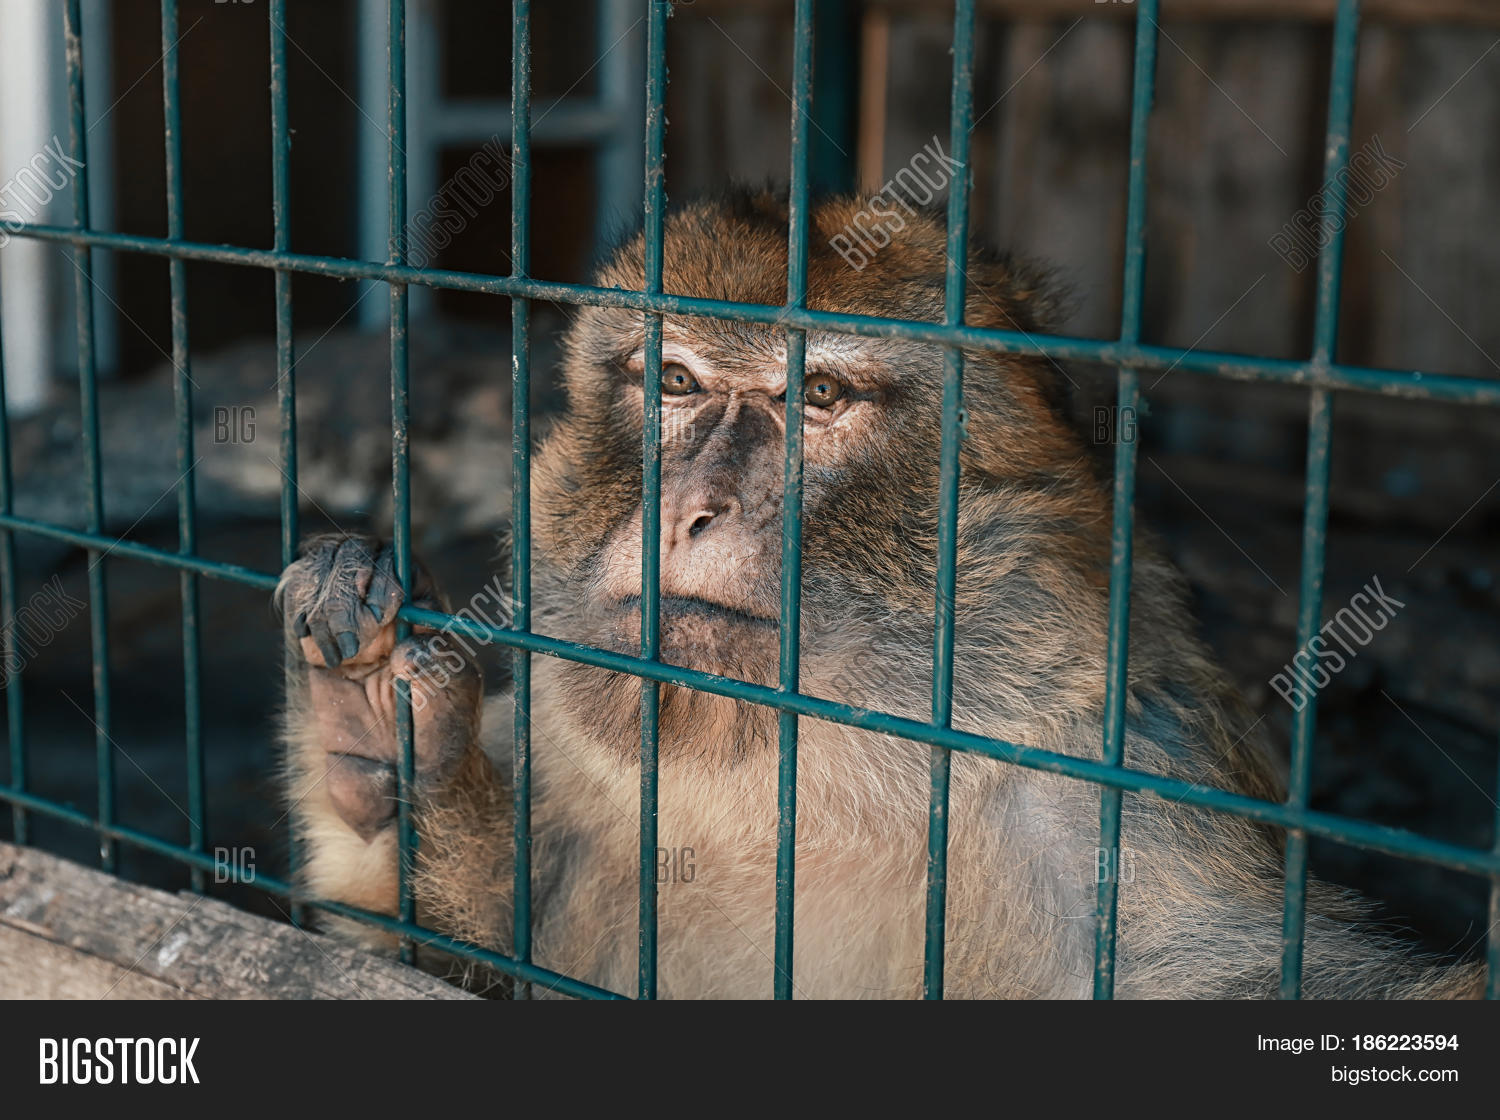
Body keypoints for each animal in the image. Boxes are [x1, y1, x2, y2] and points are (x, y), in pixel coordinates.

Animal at [274, 188, 1484, 999]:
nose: (690, 509)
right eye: (674, 381)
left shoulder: (1114, 814)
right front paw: (383, 757)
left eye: (817, 396)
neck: (805, 788)